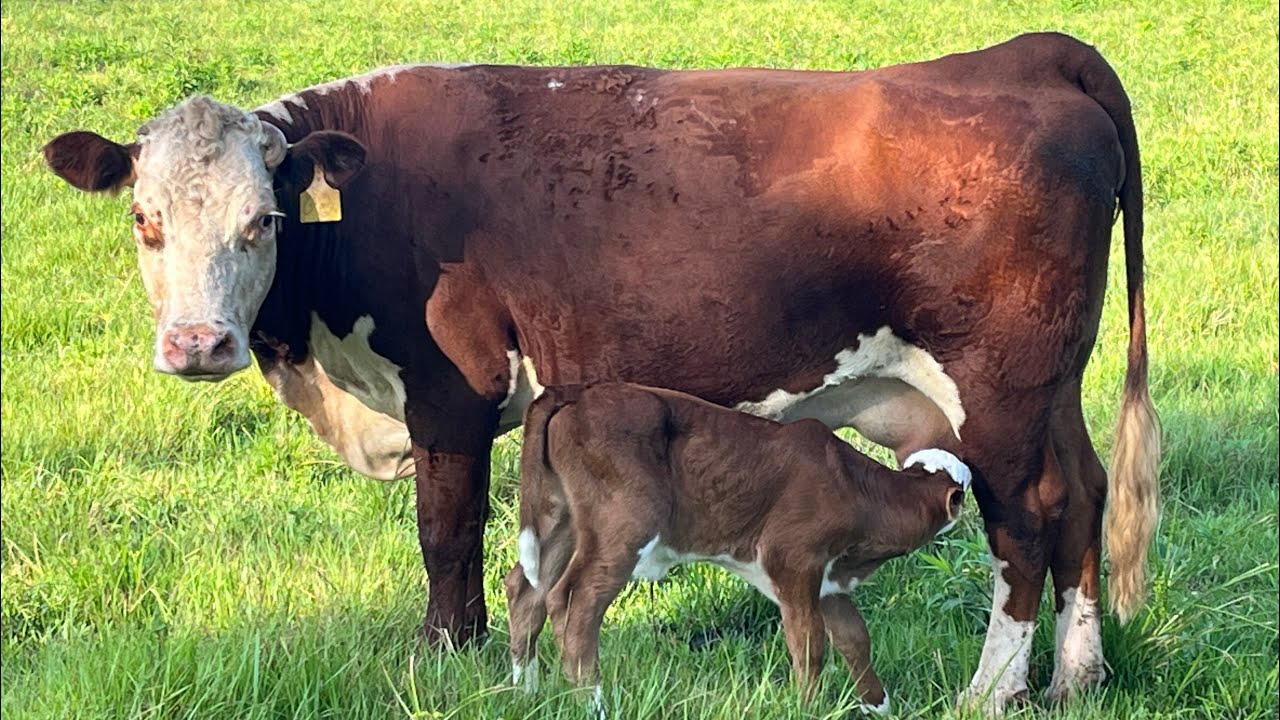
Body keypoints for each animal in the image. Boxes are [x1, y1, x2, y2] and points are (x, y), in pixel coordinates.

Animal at [506, 382, 974, 716]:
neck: (860, 491)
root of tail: (576, 392)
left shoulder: (830, 580)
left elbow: (855, 639)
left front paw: (880, 706)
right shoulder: (793, 559)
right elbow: (809, 643)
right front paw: (807, 708)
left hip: (559, 517)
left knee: (527, 588)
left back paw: (525, 691)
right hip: (624, 526)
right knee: (575, 600)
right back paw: (593, 703)